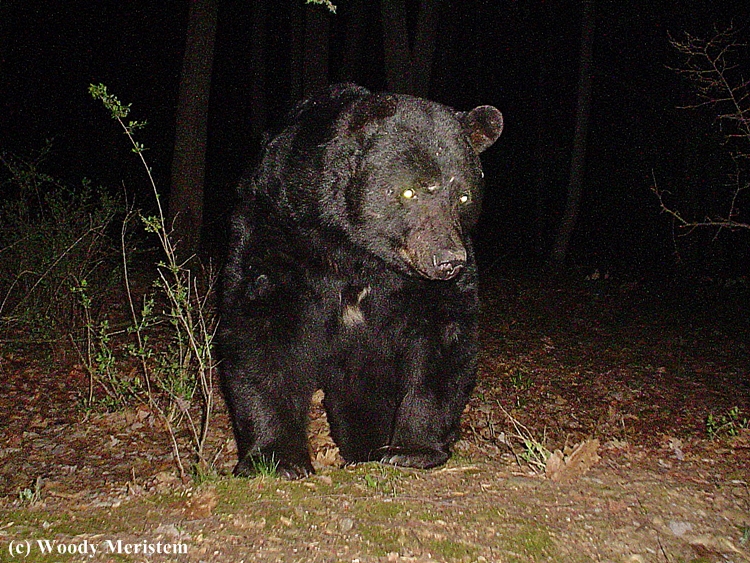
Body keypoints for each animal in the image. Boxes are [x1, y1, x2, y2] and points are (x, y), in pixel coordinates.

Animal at [218, 83, 503, 479]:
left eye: (463, 196)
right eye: (409, 191)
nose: (448, 260)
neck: (358, 251)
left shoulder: (424, 285)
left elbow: (443, 338)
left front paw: (412, 449)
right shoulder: (280, 230)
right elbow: (265, 325)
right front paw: (277, 457)